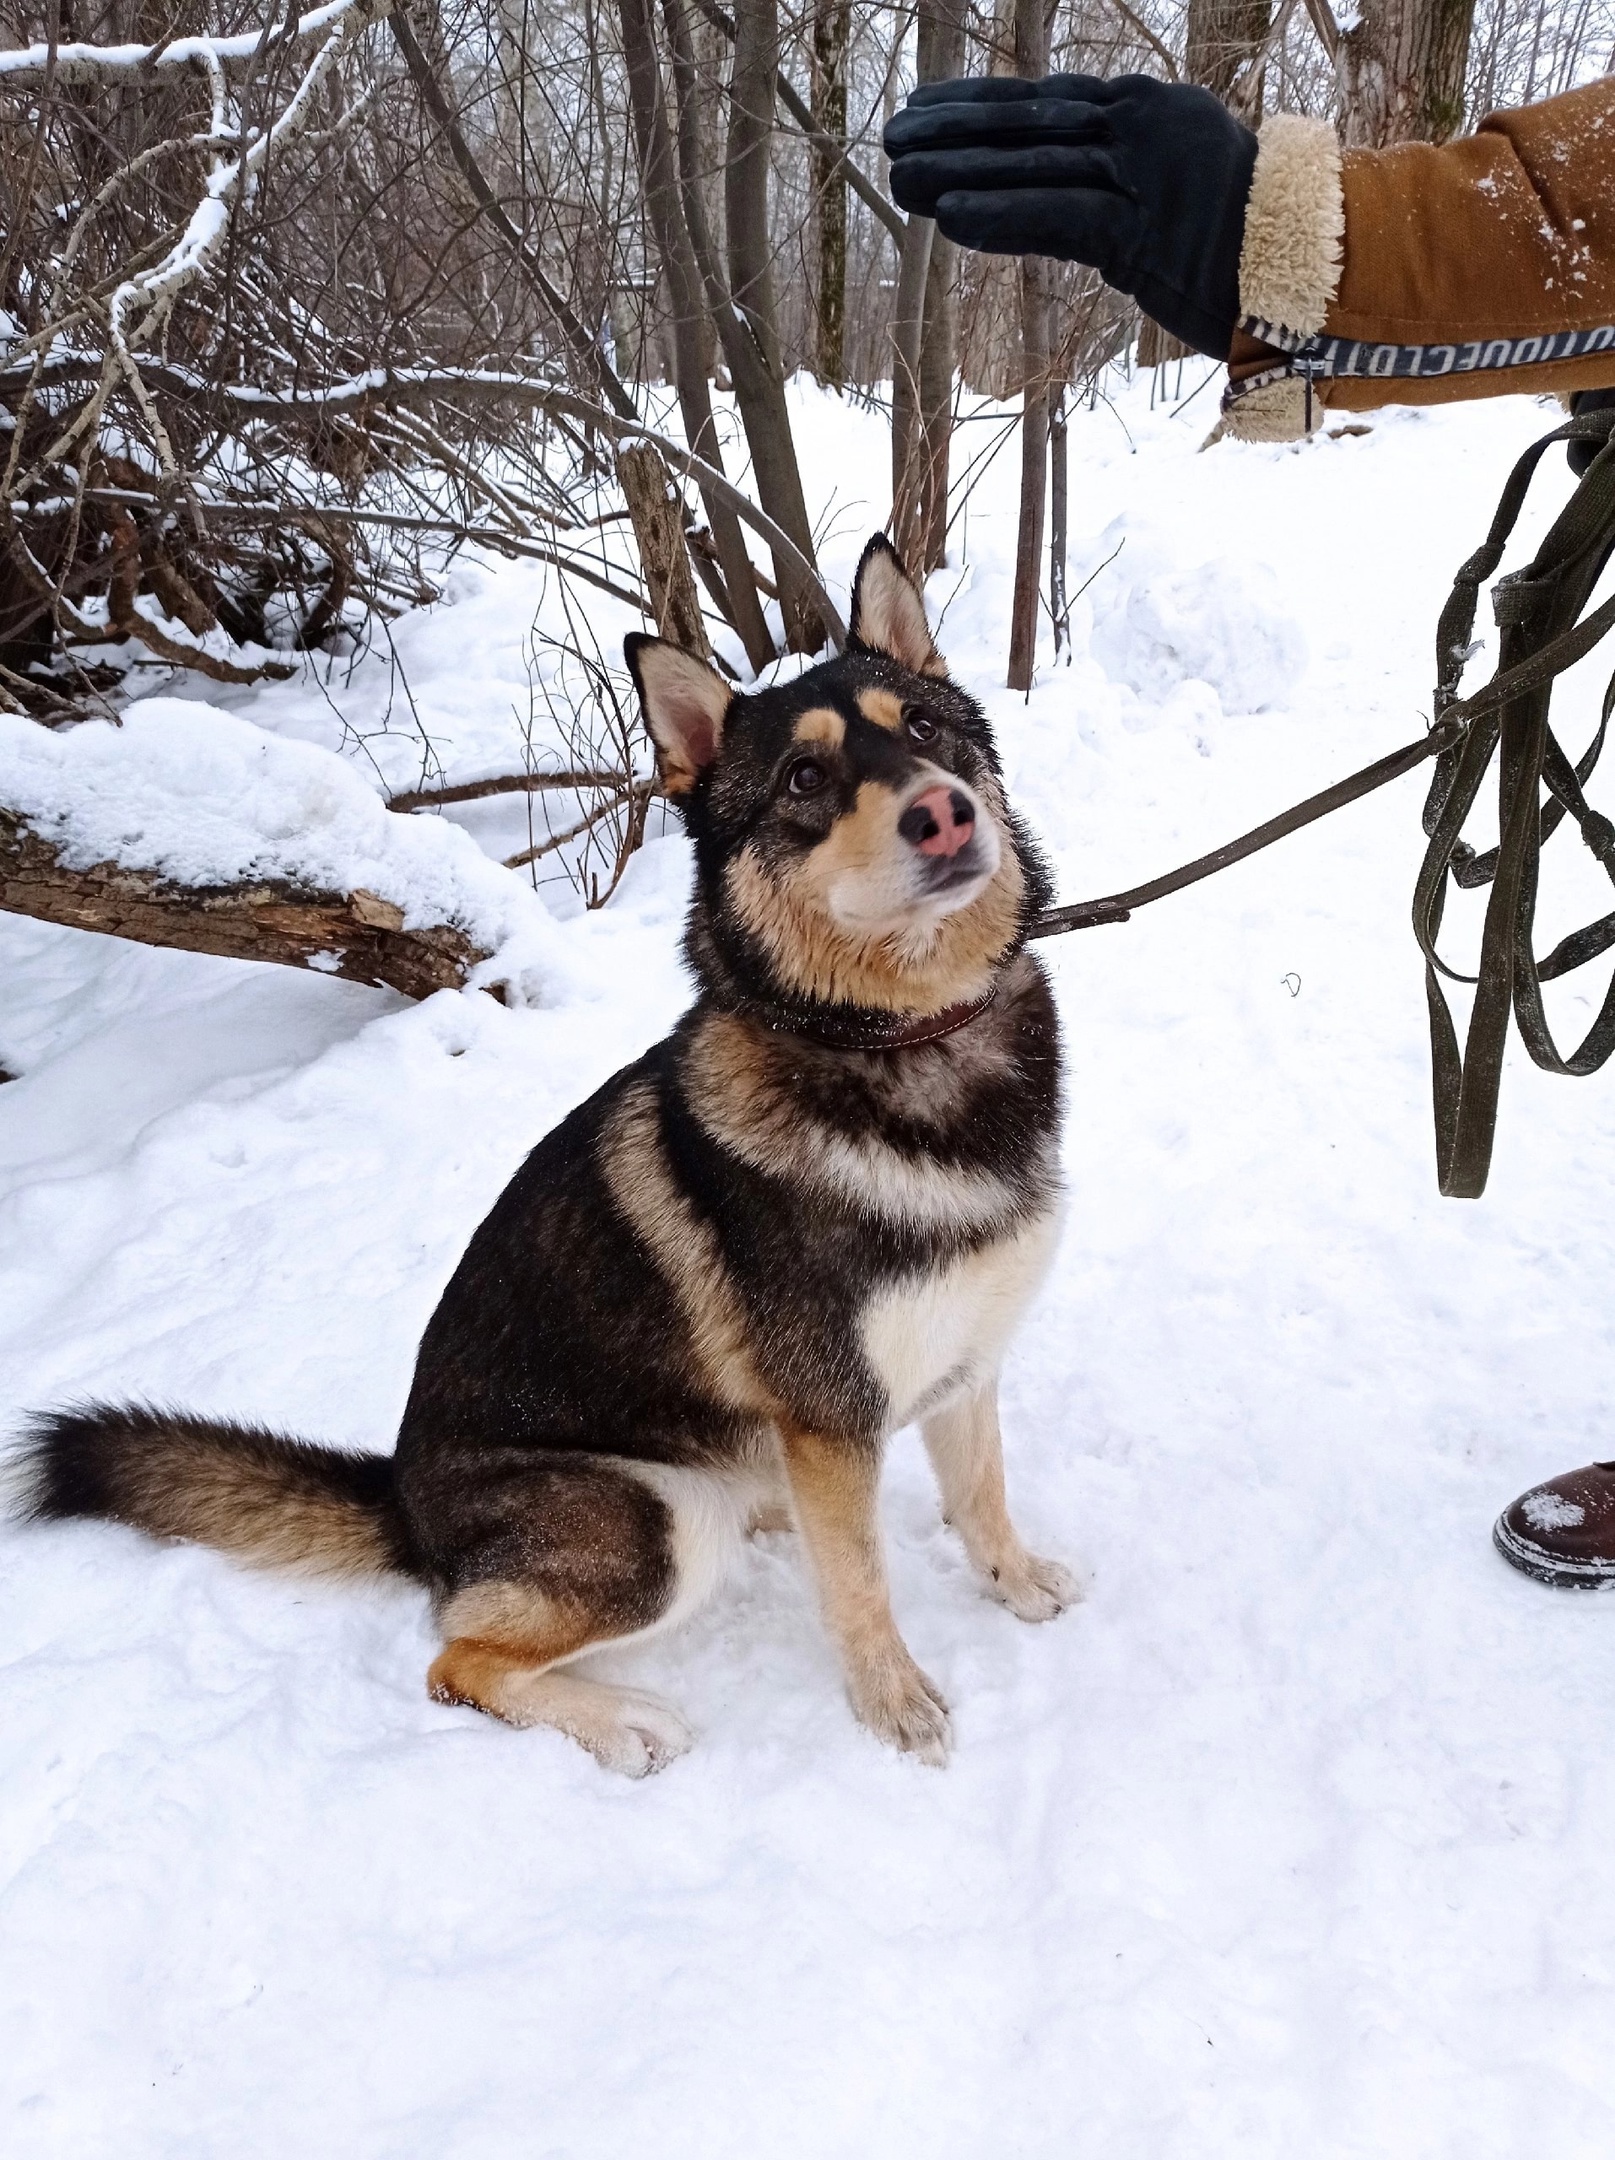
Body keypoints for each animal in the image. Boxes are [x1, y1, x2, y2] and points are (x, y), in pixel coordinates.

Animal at [15, 535, 1070, 1771]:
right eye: (805, 780)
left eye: (924, 727)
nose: (942, 815)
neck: (904, 1045)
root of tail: (405, 1503)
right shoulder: (832, 1424)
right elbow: (859, 1586)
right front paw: (895, 1705)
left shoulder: (966, 1363)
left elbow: (981, 1494)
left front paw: (1015, 1581)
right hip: (654, 1518)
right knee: (456, 1662)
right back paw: (621, 1723)